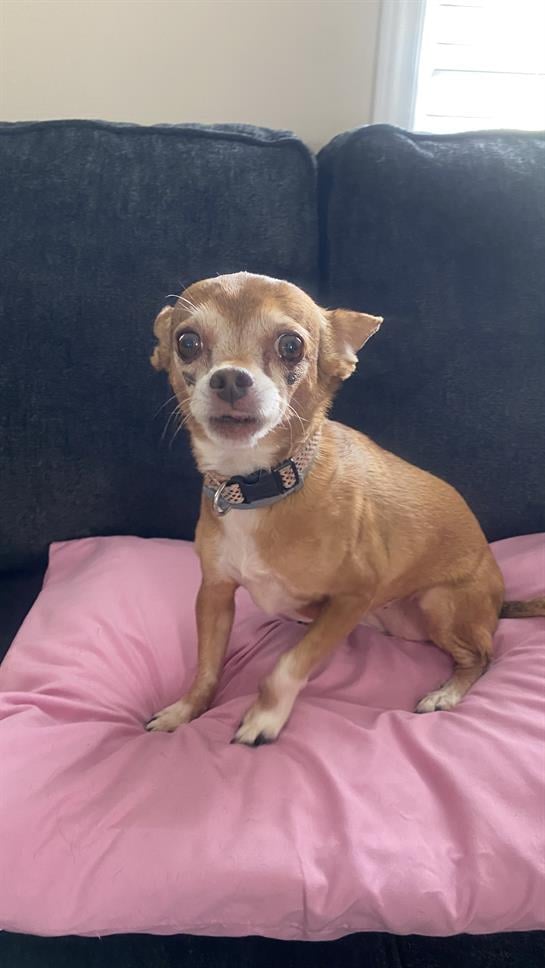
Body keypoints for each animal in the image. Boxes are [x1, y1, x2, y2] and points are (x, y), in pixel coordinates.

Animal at [147, 272, 544, 745]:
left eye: (291, 345)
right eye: (186, 342)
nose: (228, 379)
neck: (258, 484)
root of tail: (499, 600)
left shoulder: (355, 596)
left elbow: (288, 666)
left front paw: (264, 718)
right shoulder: (214, 593)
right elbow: (207, 666)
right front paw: (183, 711)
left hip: (439, 602)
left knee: (482, 656)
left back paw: (446, 693)